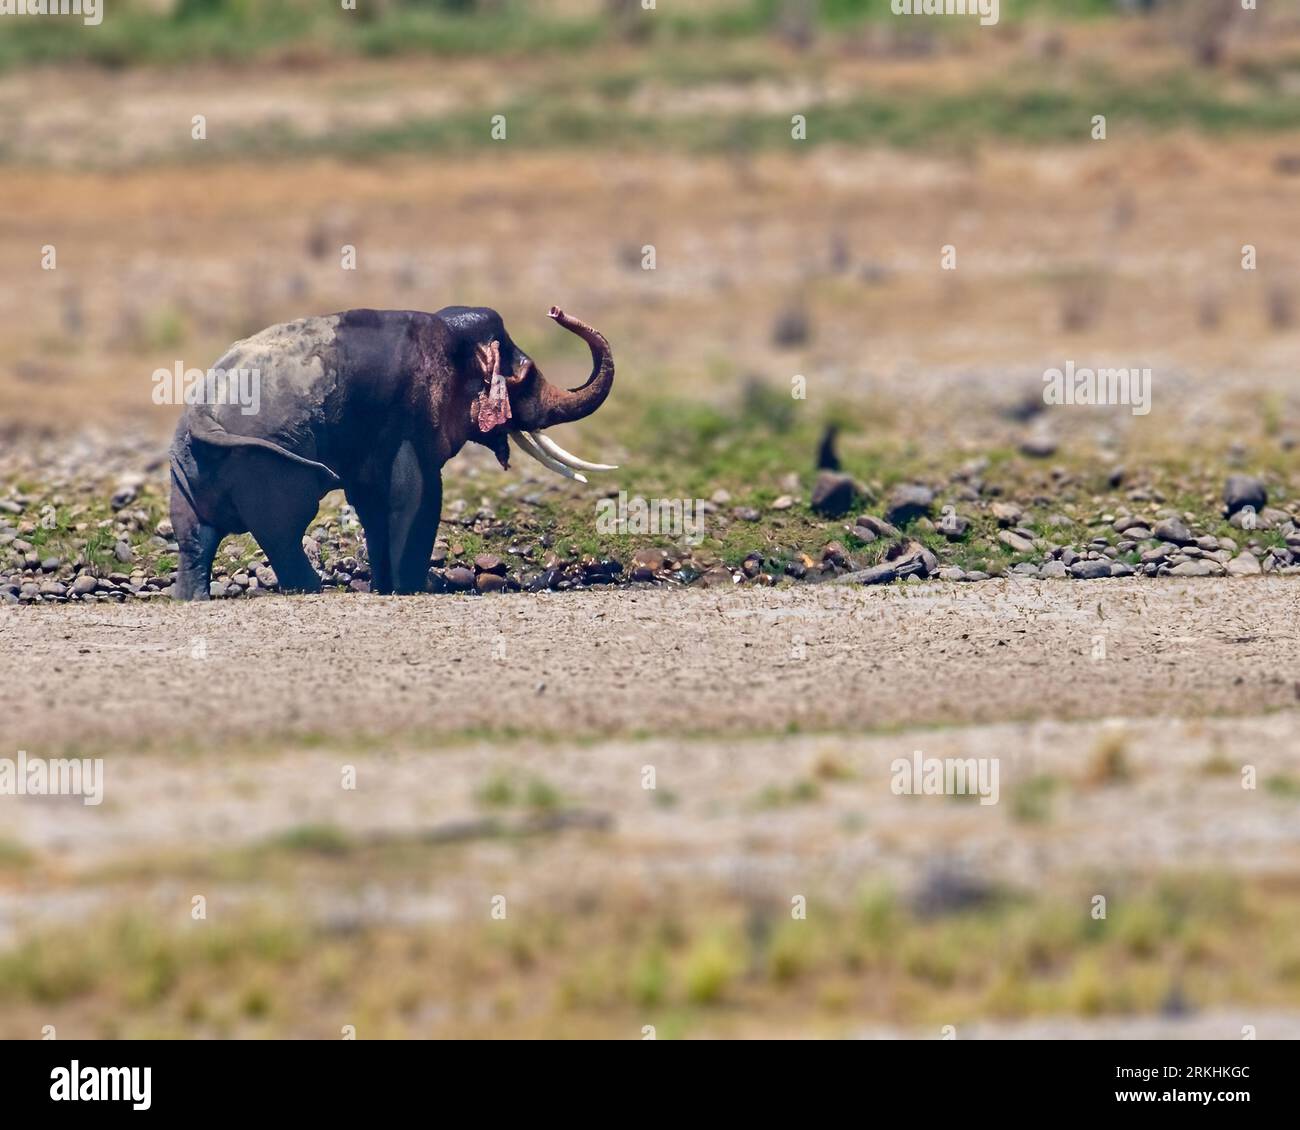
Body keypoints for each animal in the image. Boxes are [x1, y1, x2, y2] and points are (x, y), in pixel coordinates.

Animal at [168, 305, 616, 600]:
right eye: (524, 375)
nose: (555, 311)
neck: (446, 332)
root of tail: (202, 413)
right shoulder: (409, 422)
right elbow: (419, 495)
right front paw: (411, 590)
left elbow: (373, 503)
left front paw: (385, 588)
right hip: (266, 466)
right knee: (283, 532)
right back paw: (312, 590)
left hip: (186, 468)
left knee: (194, 537)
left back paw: (193, 598)